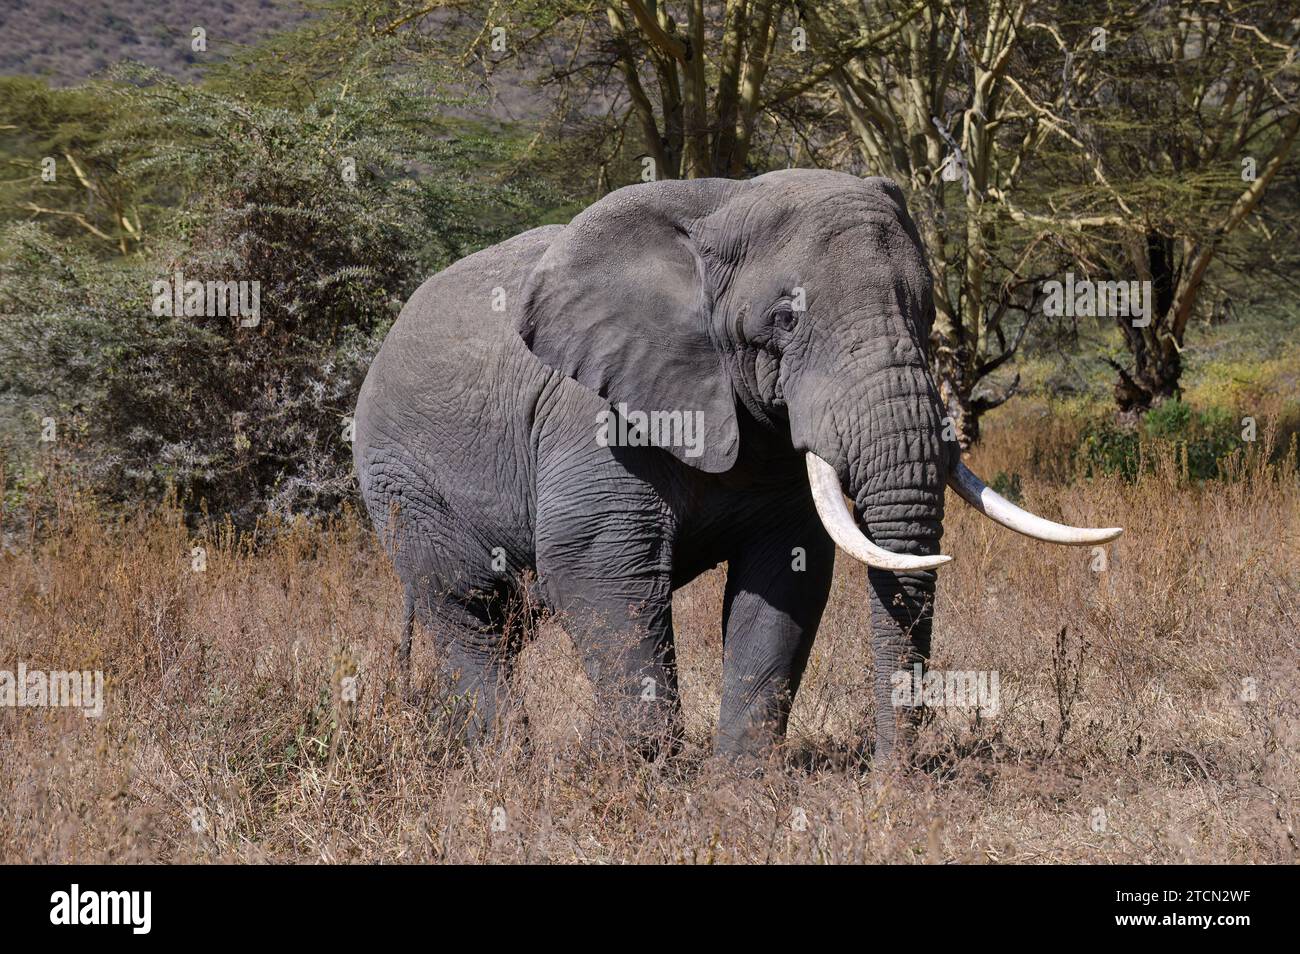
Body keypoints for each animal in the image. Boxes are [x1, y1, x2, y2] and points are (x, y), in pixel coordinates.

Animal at [353, 169, 1121, 761]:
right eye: (784, 320)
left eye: (927, 309)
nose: (890, 782)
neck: (722, 208)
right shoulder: (594, 414)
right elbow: (598, 564)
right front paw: (623, 773)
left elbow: (786, 575)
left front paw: (742, 789)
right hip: (401, 477)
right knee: (467, 606)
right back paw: (508, 768)